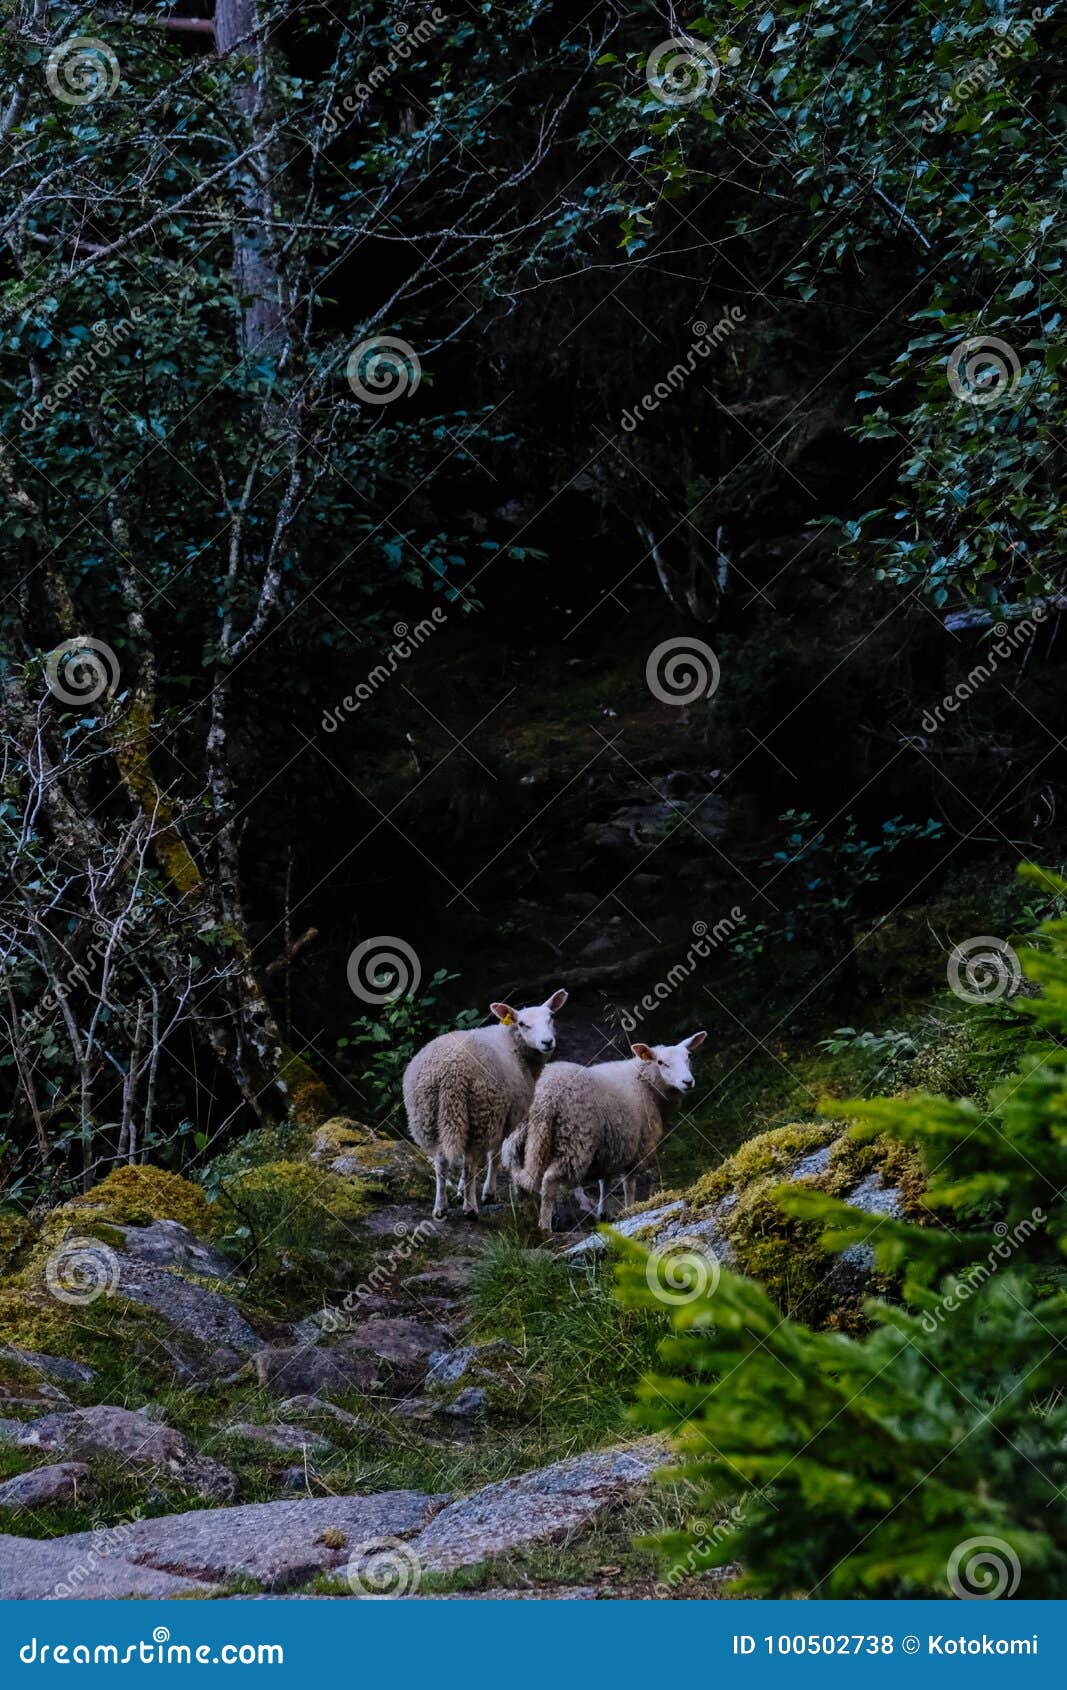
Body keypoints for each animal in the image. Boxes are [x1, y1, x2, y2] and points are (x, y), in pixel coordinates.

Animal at [402, 989, 568, 1219]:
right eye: (523, 1024)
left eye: (551, 1017)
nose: (547, 1042)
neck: (514, 1044)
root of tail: (451, 1072)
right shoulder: (506, 1116)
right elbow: (495, 1154)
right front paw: (487, 1192)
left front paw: (460, 1190)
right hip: (482, 1111)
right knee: (471, 1162)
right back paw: (471, 1208)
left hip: (429, 1116)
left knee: (441, 1162)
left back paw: (440, 1207)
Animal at [503, 1031, 706, 1233]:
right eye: (661, 1062)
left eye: (688, 1057)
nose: (688, 1082)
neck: (647, 1085)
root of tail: (544, 1097)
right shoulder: (636, 1146)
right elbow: (628, 1184)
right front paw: (630, 1208)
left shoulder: (611, 1147)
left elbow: (605, 1182)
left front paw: (604, 1213)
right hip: (575, 1141)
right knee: (549, 1180)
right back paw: (545, 1227)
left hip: (517, 1139)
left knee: (517, 1177)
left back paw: (524, 1216)